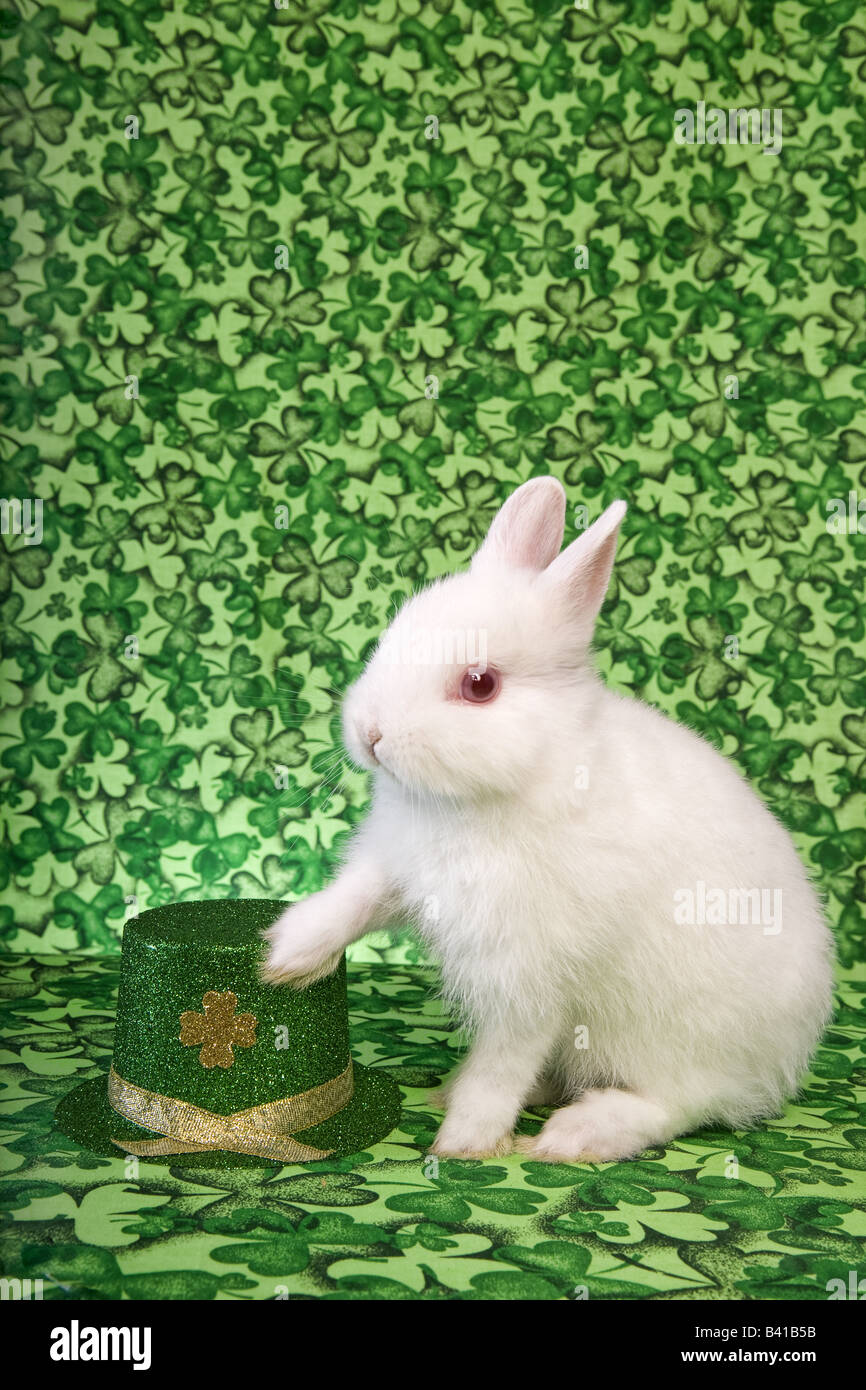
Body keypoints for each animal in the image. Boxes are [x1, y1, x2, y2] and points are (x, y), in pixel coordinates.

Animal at [261, 477, 835, 1161]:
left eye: (480, 685)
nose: (369, 733)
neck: (508, 783)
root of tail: (785, 1058)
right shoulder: (397, 869)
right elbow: (350, 904)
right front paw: (285, 957)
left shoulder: (529, 972)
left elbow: (505, 1059)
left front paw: (462, 1144)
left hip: (679, 1041)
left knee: (679, 1103)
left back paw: (574, 1135)